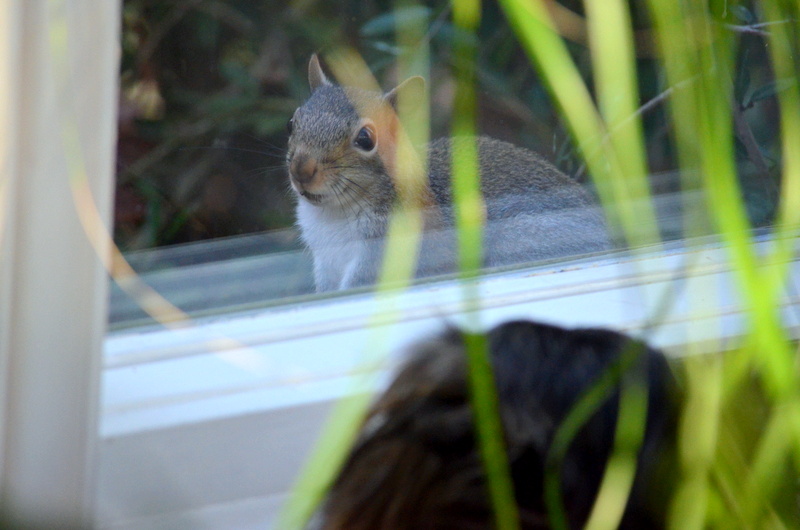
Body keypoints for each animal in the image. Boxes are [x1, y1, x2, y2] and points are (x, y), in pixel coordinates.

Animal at [287, 55, 611, 291]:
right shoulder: (325, 261)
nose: (301, 169)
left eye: (366, 139)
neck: (332, 215)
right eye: (293, 122)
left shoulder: (391, 248)